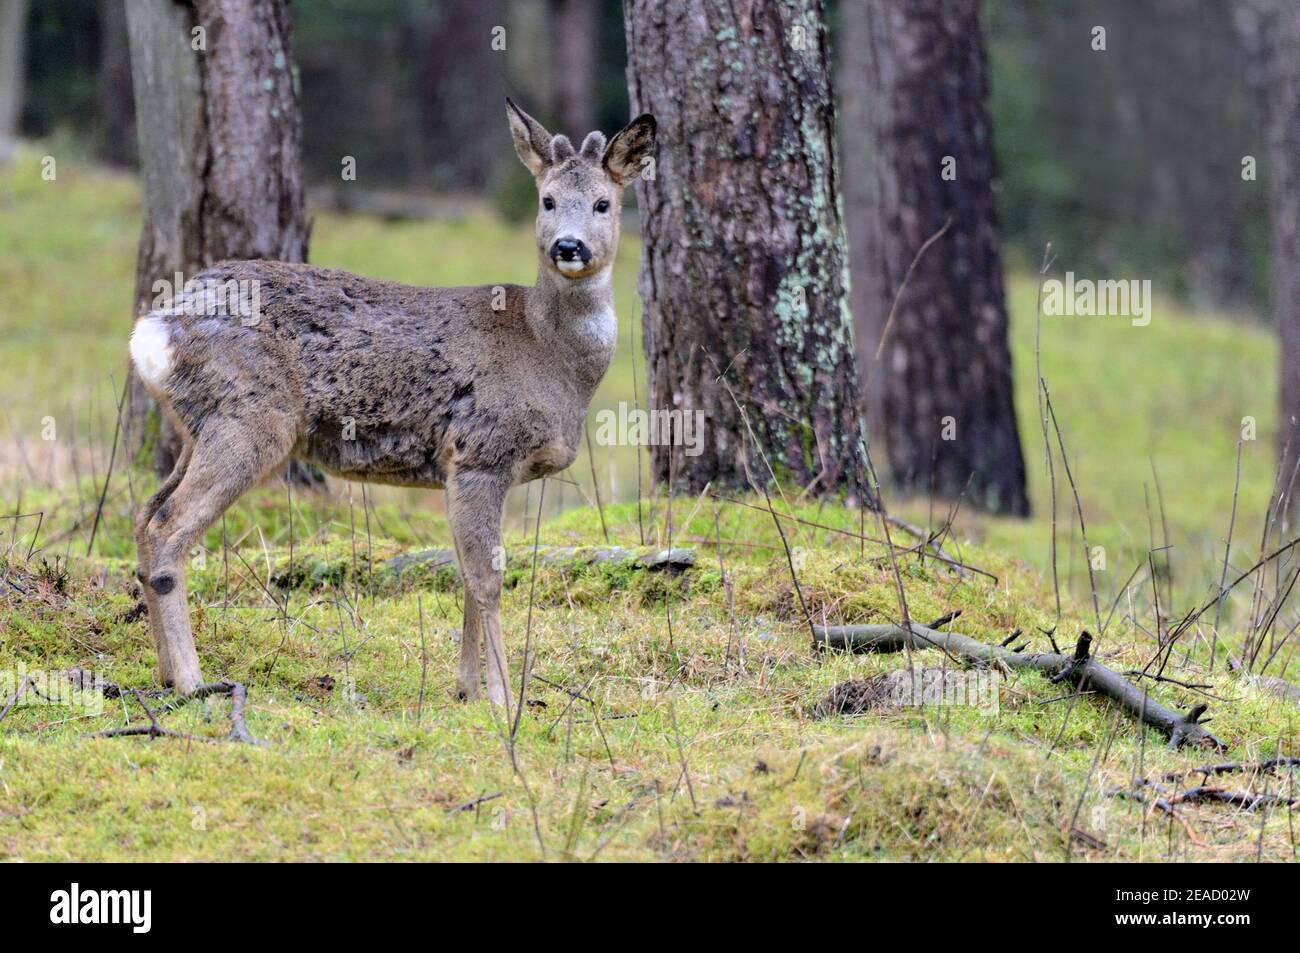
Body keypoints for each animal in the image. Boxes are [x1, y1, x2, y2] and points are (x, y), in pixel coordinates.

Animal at [128, 99, 656, 711]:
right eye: (546, 199)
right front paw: (504, 697)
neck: (548, 354)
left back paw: (166, 673)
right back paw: (194, 681)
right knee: (169, 526)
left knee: (144, 514)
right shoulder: (482, 453)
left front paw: (465, 689)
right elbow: (488, 579)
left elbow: (465, 574)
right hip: (250, 420)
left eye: (603, 203)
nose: (568, 247)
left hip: (199, 426)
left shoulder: (466, 469)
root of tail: (153, 329)